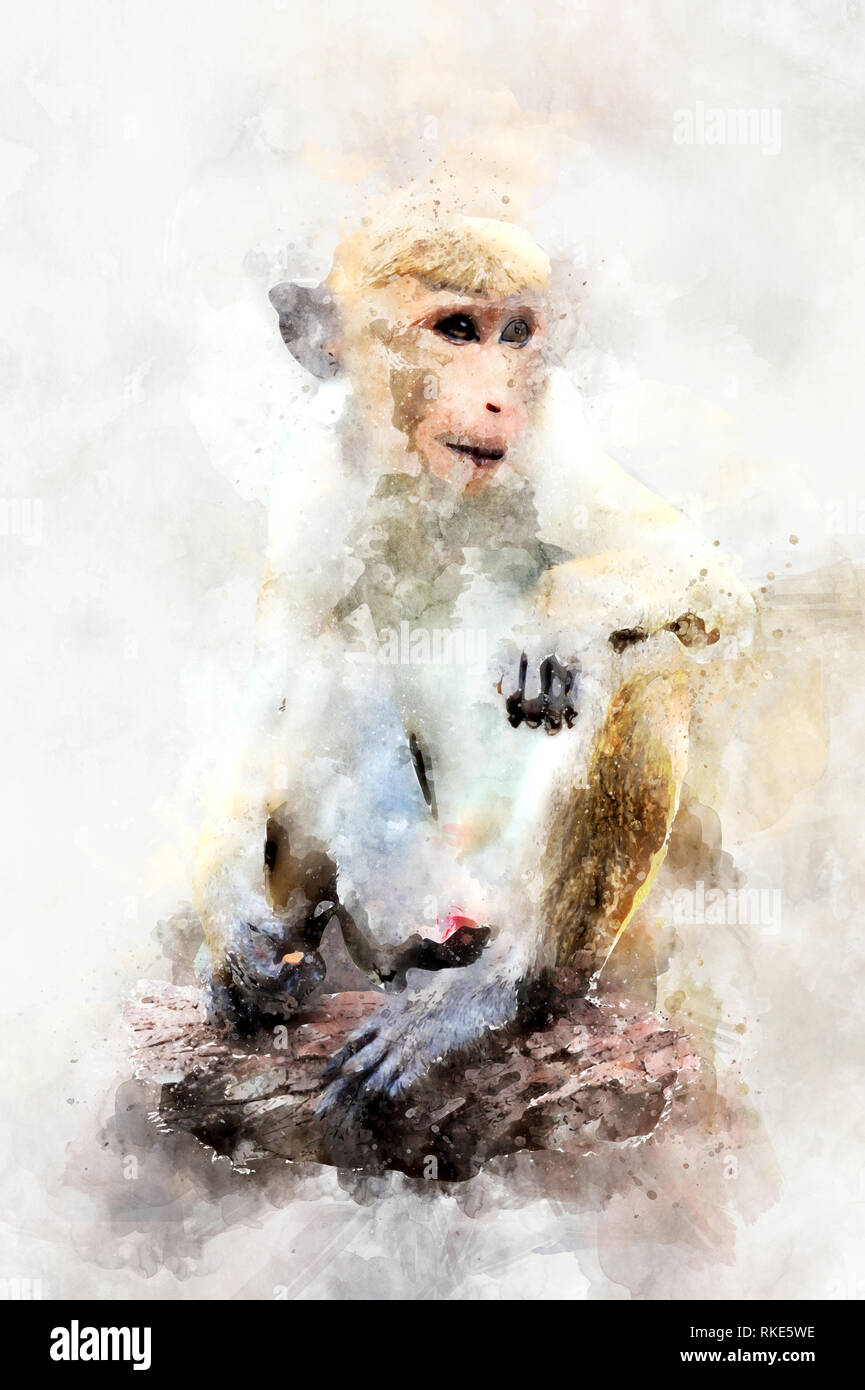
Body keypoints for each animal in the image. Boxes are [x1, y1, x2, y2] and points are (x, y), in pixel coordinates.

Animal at [192, 209, 754, 1116]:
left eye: (514, 334)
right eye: (457, 329)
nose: (498, 394)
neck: (427, 484)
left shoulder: (551, 432)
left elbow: (706, 578)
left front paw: (554, 615)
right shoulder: (315, 470)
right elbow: (275, 674)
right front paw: (233, 926)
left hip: (523, 900)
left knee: (637, 658)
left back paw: (499, 990)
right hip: (399, 896)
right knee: (329, 662)